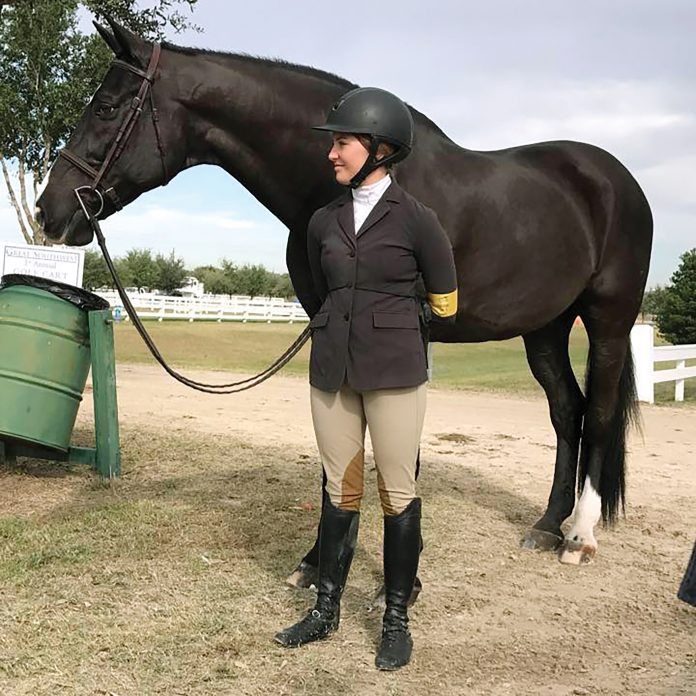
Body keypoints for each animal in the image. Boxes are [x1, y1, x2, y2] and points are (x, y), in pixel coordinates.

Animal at [36, 17, 652, 578]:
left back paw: (579, 535)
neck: (354, 189)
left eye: (106, 109)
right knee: (566, 410)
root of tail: (614, 178)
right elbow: (340, 445)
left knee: (598, 413)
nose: (49, 211)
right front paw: (319, 561)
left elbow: (402, 448)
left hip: (608, 320)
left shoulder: (410, 332)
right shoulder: (330, 322)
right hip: (545, 327)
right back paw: (547, 525)